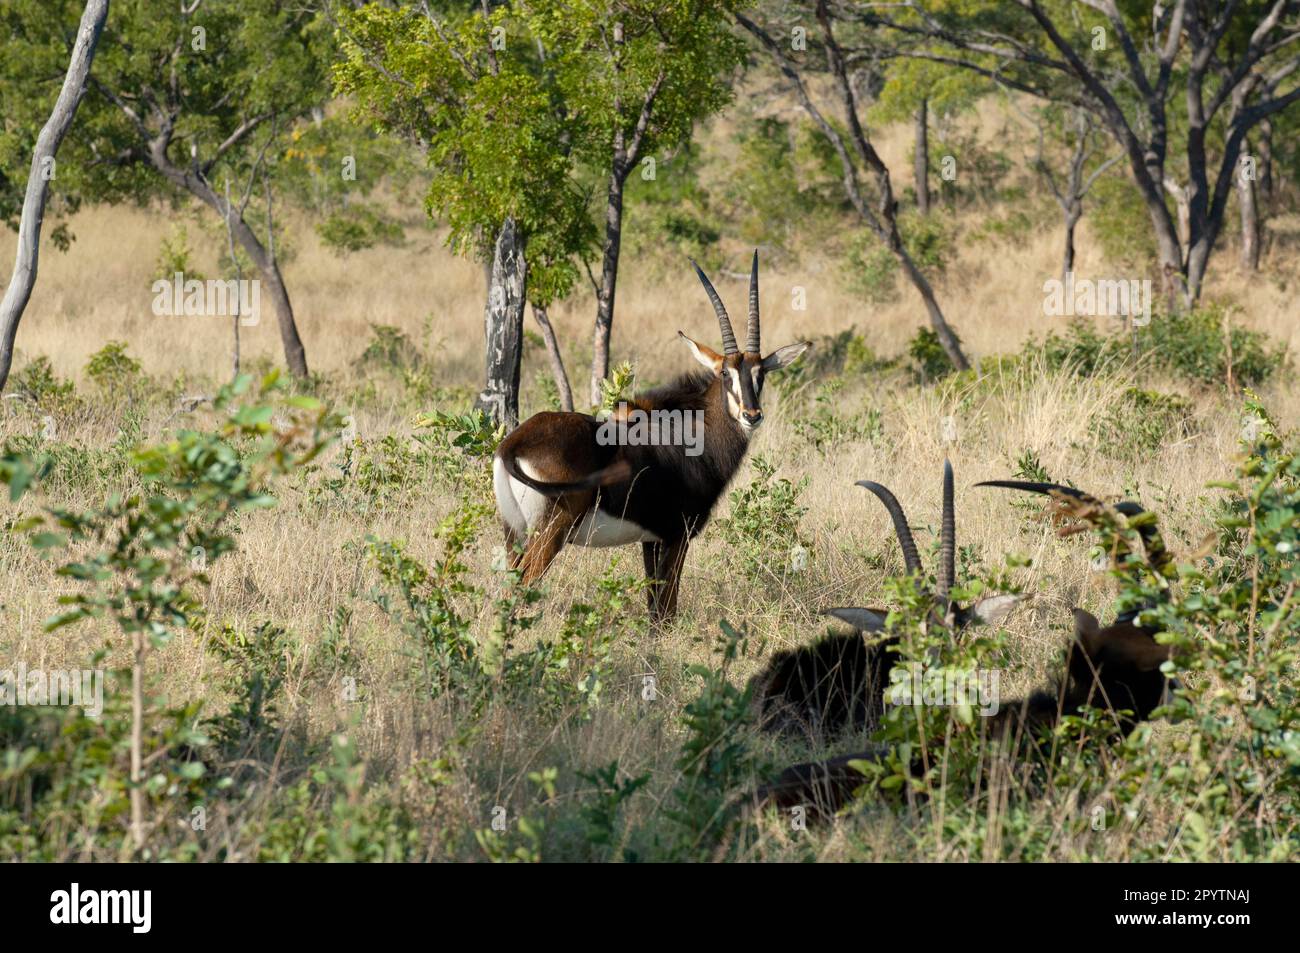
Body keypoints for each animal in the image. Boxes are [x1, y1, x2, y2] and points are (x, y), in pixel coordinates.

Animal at [493, 252, 810, 622]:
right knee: (522, 586)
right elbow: (666, 611)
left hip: (513, 534)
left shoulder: (651, 539)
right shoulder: (677, 535)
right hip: (551, 531)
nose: (752, 415)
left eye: (761, 374)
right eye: (724, 373)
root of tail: (513, 445)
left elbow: (654, 611)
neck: (691, 432)